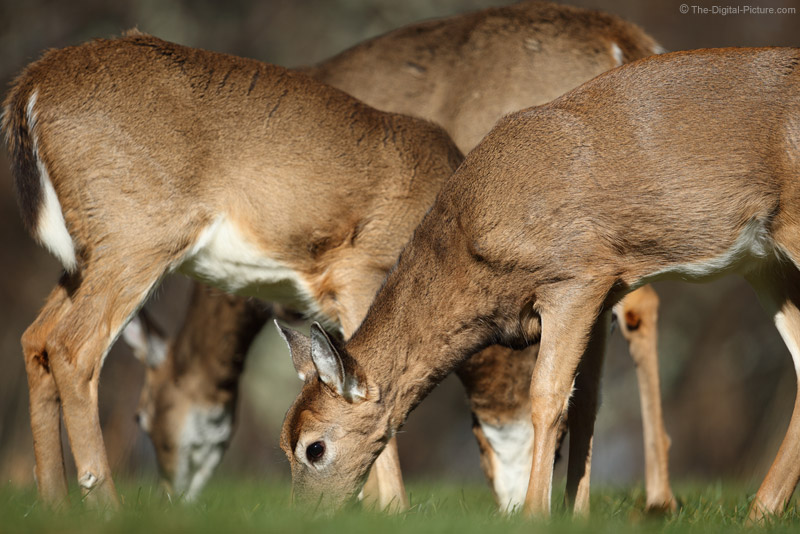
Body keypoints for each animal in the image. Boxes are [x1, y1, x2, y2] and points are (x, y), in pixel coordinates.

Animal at [277, 46, 800, 523]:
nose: (303, 515)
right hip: (765, 264)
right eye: (283, 442)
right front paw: (576, 514)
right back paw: (761, 513)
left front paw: (534, 514)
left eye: (314, 448)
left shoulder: (576, 274)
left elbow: (547, 395)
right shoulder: (605, 289)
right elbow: (586, 400)